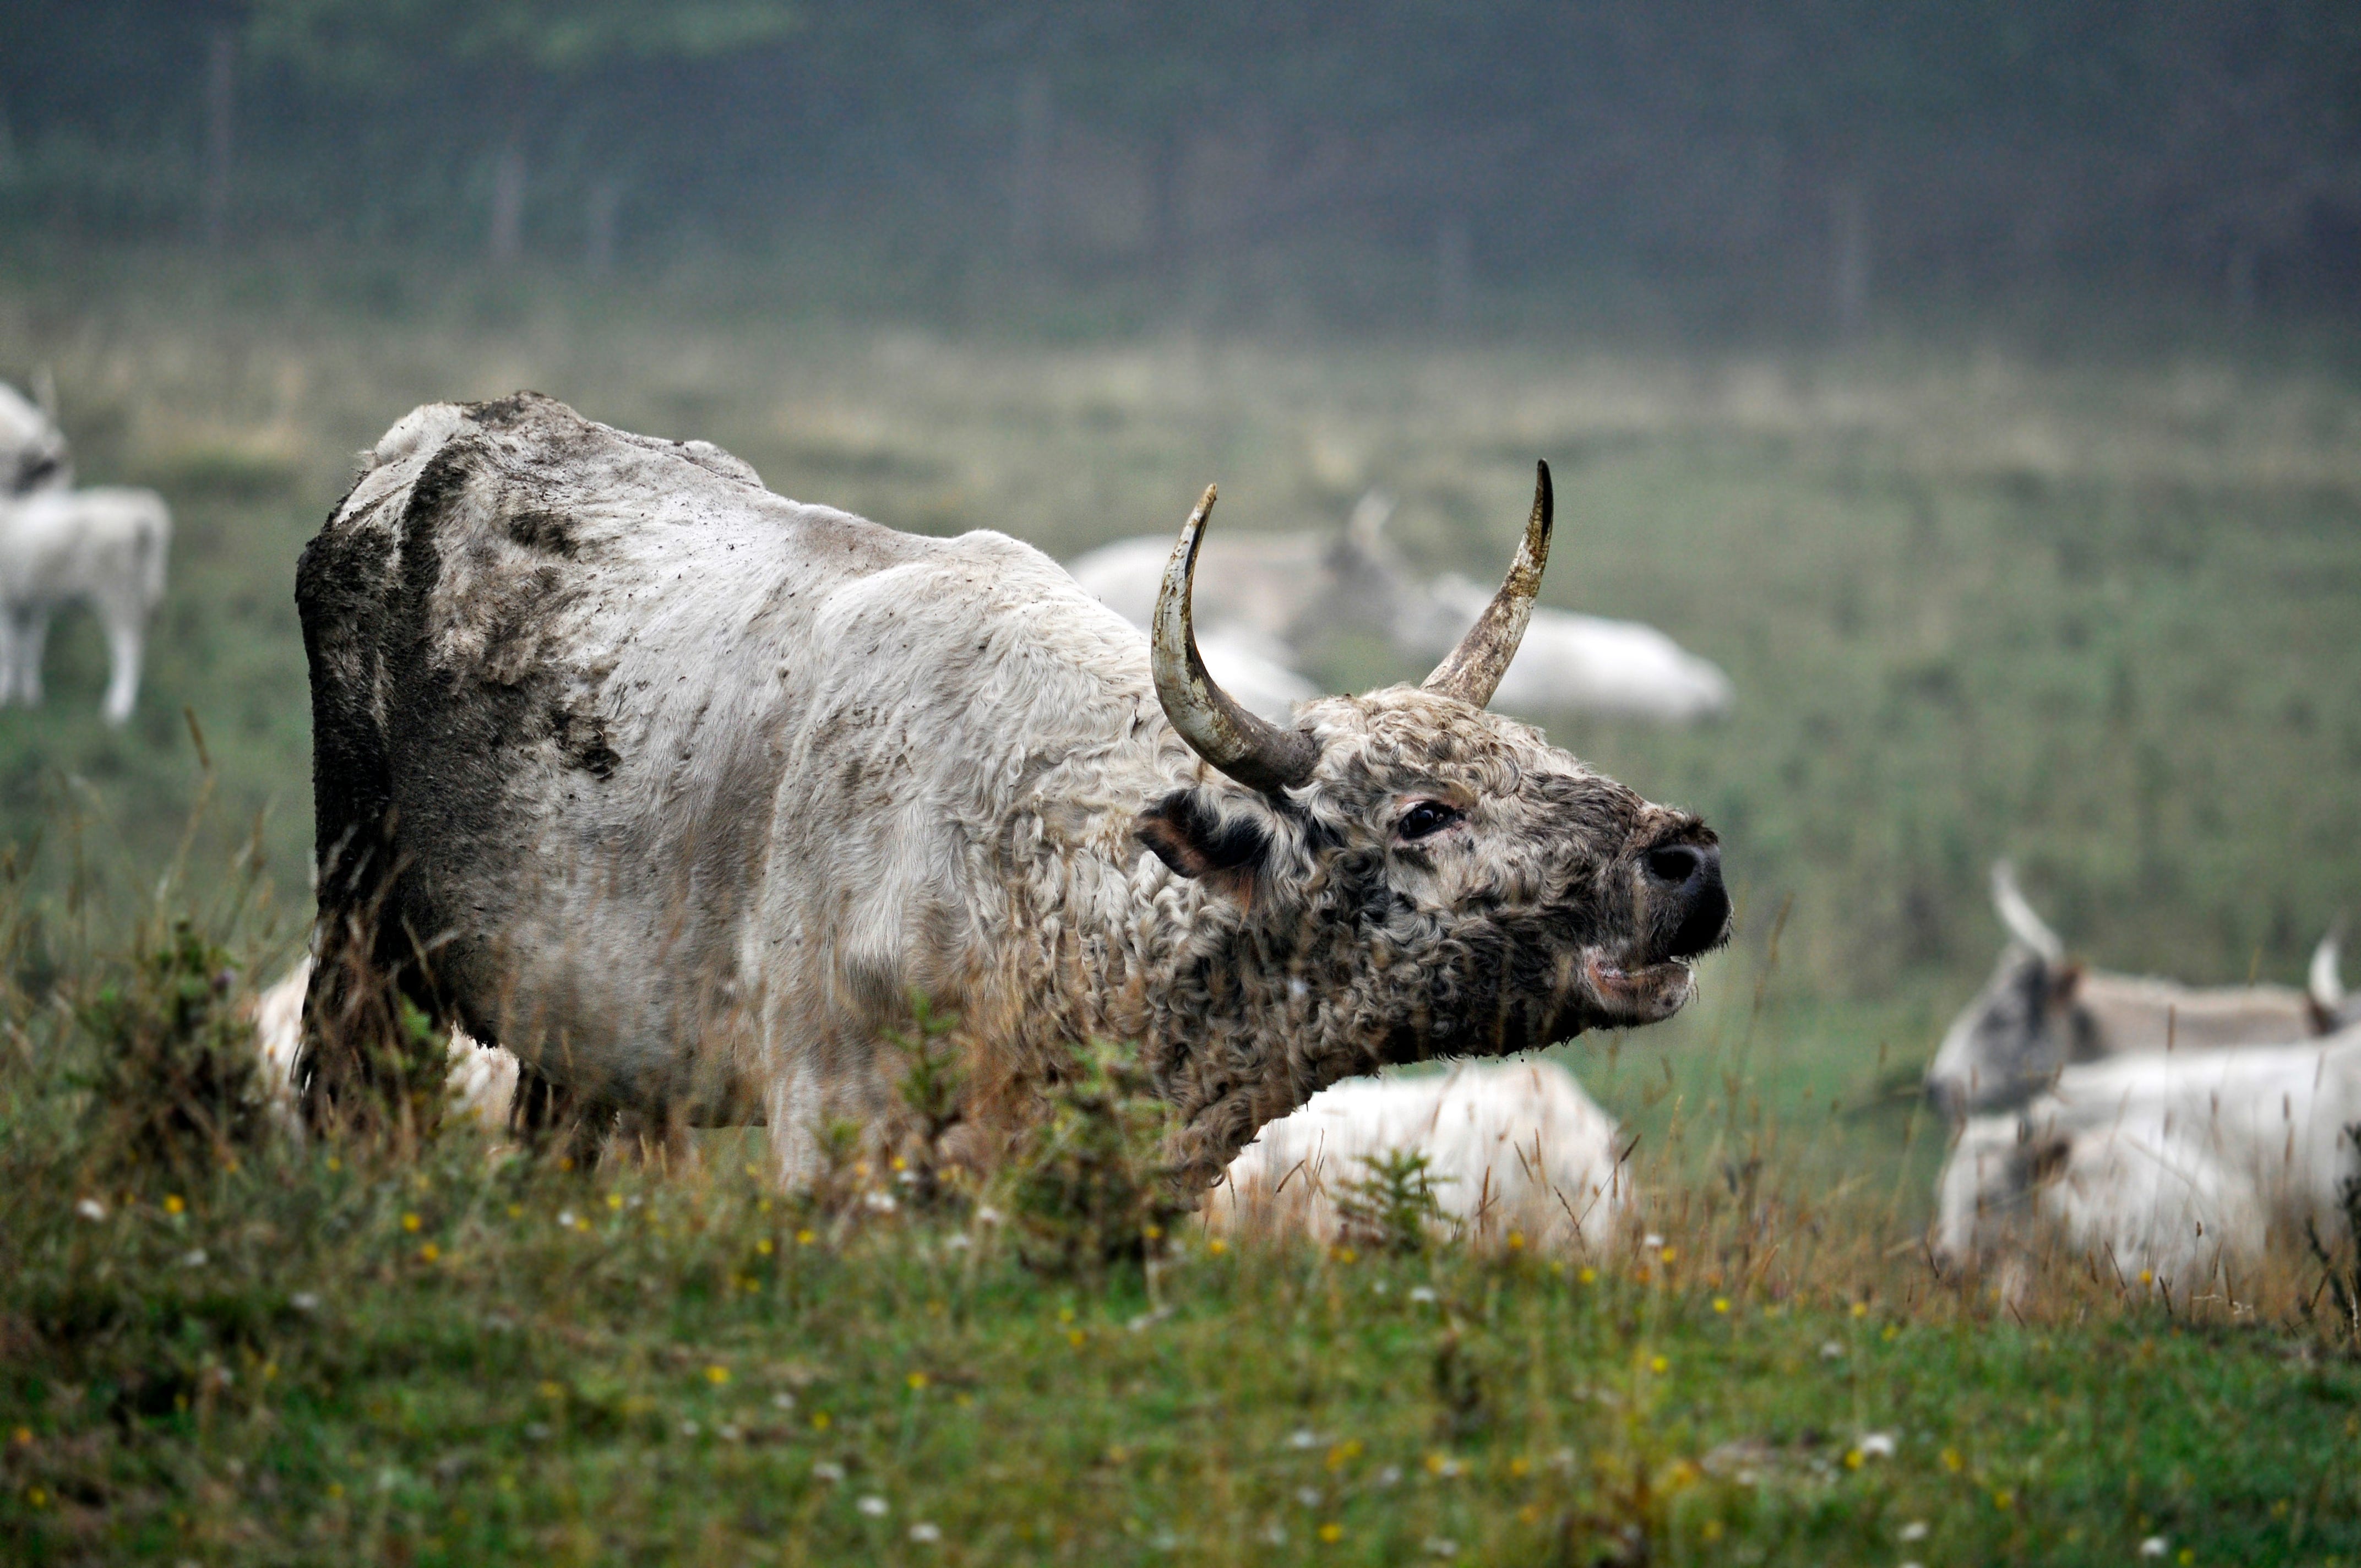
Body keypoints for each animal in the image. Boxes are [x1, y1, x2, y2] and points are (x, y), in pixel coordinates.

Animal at [0, 484, 171, 724]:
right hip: (142, 590)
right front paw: (29, 695)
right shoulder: (29, 602)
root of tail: (140, 508)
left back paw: (119, 708)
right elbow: (29, 645)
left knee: (127, 646)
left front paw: (5, 695)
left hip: (117, 592)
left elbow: (8, 646)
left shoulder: (8, 597)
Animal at [295, 394, 1729, 1191]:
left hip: (579, 1042)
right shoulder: (835, 1134)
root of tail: (429, 442)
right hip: (359, 937)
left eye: (1539, 746)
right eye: (1422, 811)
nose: (1688, 861)